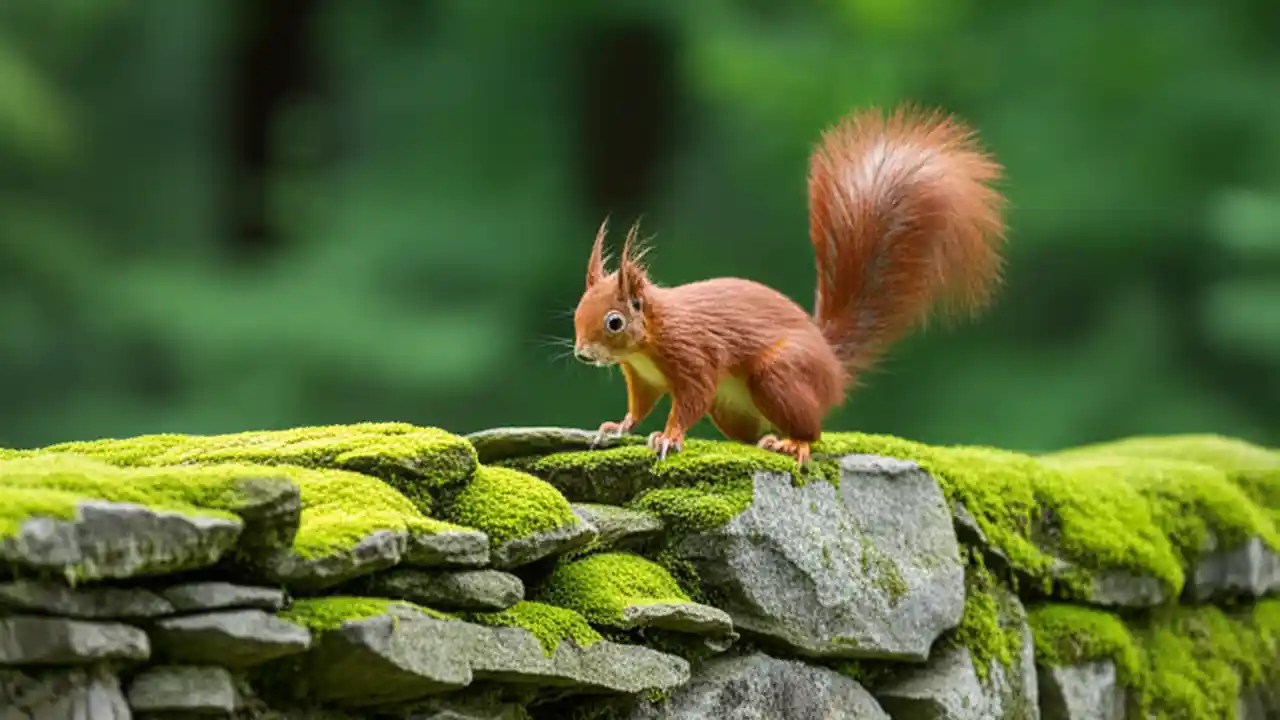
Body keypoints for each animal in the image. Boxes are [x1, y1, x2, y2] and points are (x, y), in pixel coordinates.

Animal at [572, 104, 1007, 466]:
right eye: (577, 314)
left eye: (614, 321)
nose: (582, 354)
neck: (650, 338)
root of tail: (832, 367)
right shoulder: (642, 376)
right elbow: (639, 406)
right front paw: (618, 426)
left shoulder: (692, 354)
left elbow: (692, 398)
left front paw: (668, 436)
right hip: (732, 408)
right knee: (753, 433)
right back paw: (764, 441)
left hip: (780, 375)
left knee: (812, 432)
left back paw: (793, 443)